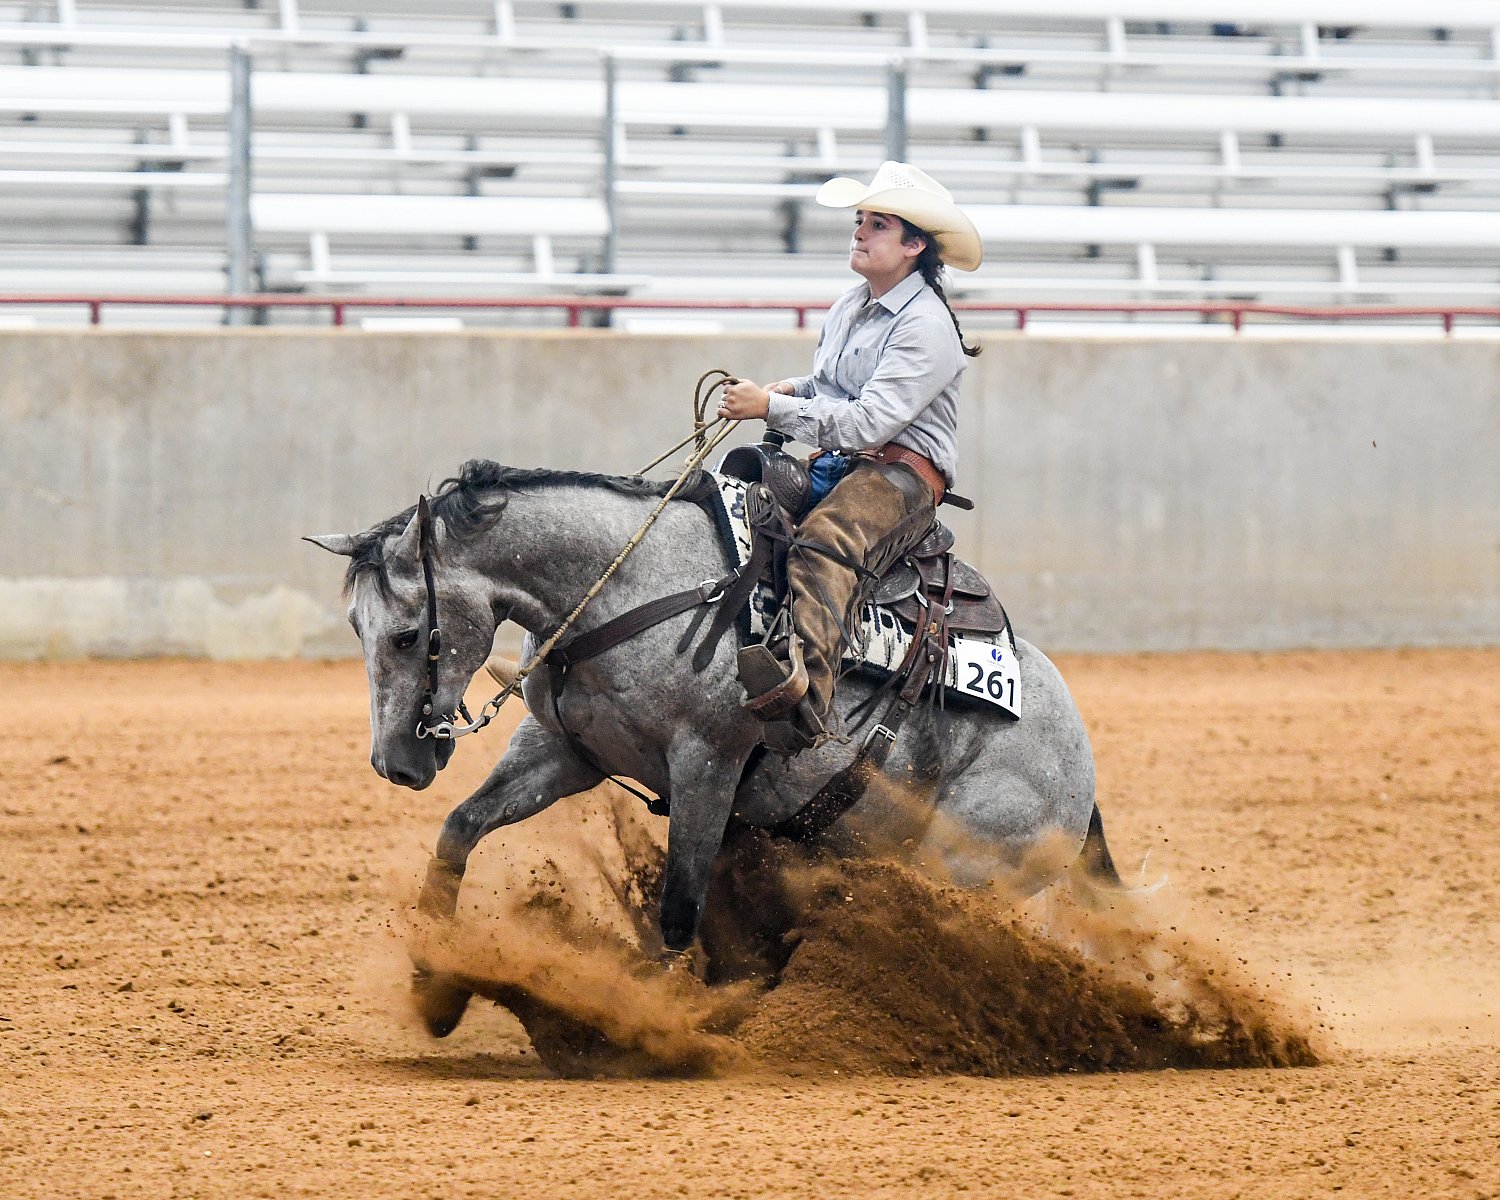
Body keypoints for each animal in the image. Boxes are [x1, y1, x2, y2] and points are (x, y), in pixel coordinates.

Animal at [308, 458, 1124, 1034]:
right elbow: (460, 828)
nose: (396, 764)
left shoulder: (707, 762)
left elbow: (678, 909)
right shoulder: (565, 751)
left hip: (960, 869)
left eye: (407, 634)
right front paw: (431, 986)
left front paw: (646, 1021)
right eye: (355, 627)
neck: (634, 587)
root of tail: (1081, 773)